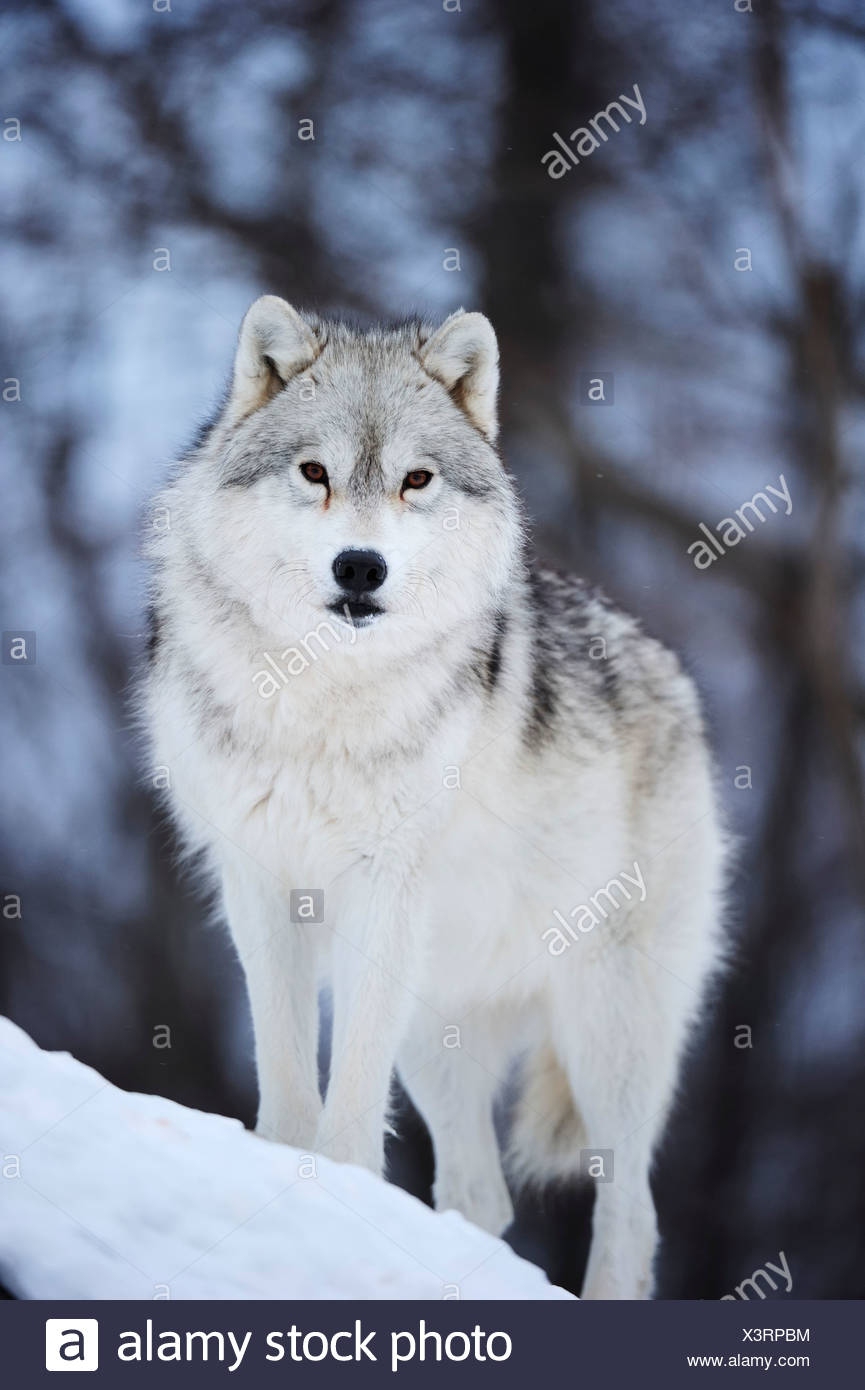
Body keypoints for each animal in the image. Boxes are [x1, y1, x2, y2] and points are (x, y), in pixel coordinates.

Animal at [143, 296, 725, 1299]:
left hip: (606, 1029)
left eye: (416, 479)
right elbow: (286, 1070)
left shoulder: (383, 887)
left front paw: (333, 1193)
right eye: (314, 472)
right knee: (479, 1194)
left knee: (630, 1215)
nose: (360, 568)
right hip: (437, 1031)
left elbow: (347, 1101)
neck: (322, 698)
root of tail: (670, 670)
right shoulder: (261, 885)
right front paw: (284, 1178)